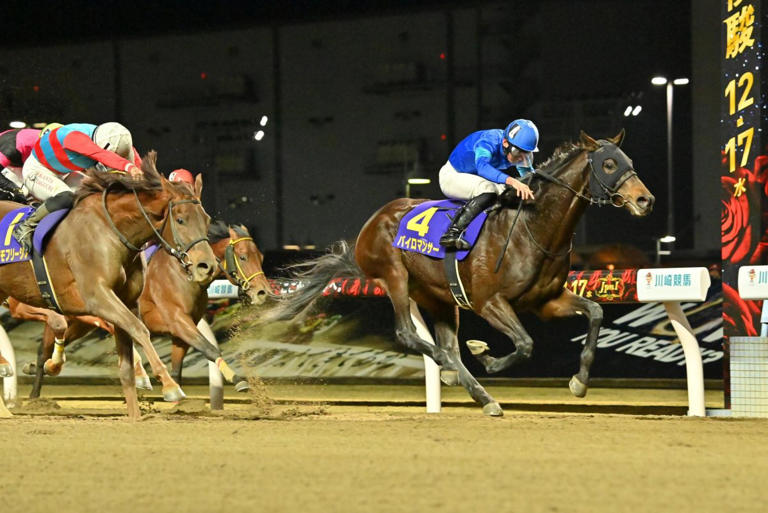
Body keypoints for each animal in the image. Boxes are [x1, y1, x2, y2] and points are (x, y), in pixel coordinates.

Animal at [0, 151, 217, 418]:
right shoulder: (98, 297)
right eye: (181, 219)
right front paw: (169, 386)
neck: (110, 232)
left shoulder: (126, 300)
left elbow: (126, 361)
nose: (207, 266)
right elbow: (139, 329)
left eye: (206, 219)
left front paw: (136, 414)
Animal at [22, 220, 271, 398]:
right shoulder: (178, 321)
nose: (263, 292)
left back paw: (43, 369)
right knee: (44, 347)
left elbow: (177, 368)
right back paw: (35, 394)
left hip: (81, 322)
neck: (182, 274)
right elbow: (209, 349)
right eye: (243, 256)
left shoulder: (181, 331)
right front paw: (238, 380)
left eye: (261, 256)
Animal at [265, 130, 654, 416]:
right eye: (608, 163)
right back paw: (457, 372)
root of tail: (373, 222)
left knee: (446, 343)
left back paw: (480, 394)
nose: (645, 200)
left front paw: (580, 381)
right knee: (411, 335)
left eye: (629, 161)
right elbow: (525, 344)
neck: (532, 227)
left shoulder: (547, 300)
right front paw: (488, 357)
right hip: (394, 277)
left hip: (440, 297)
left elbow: (596, 313)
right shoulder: (489, 302)